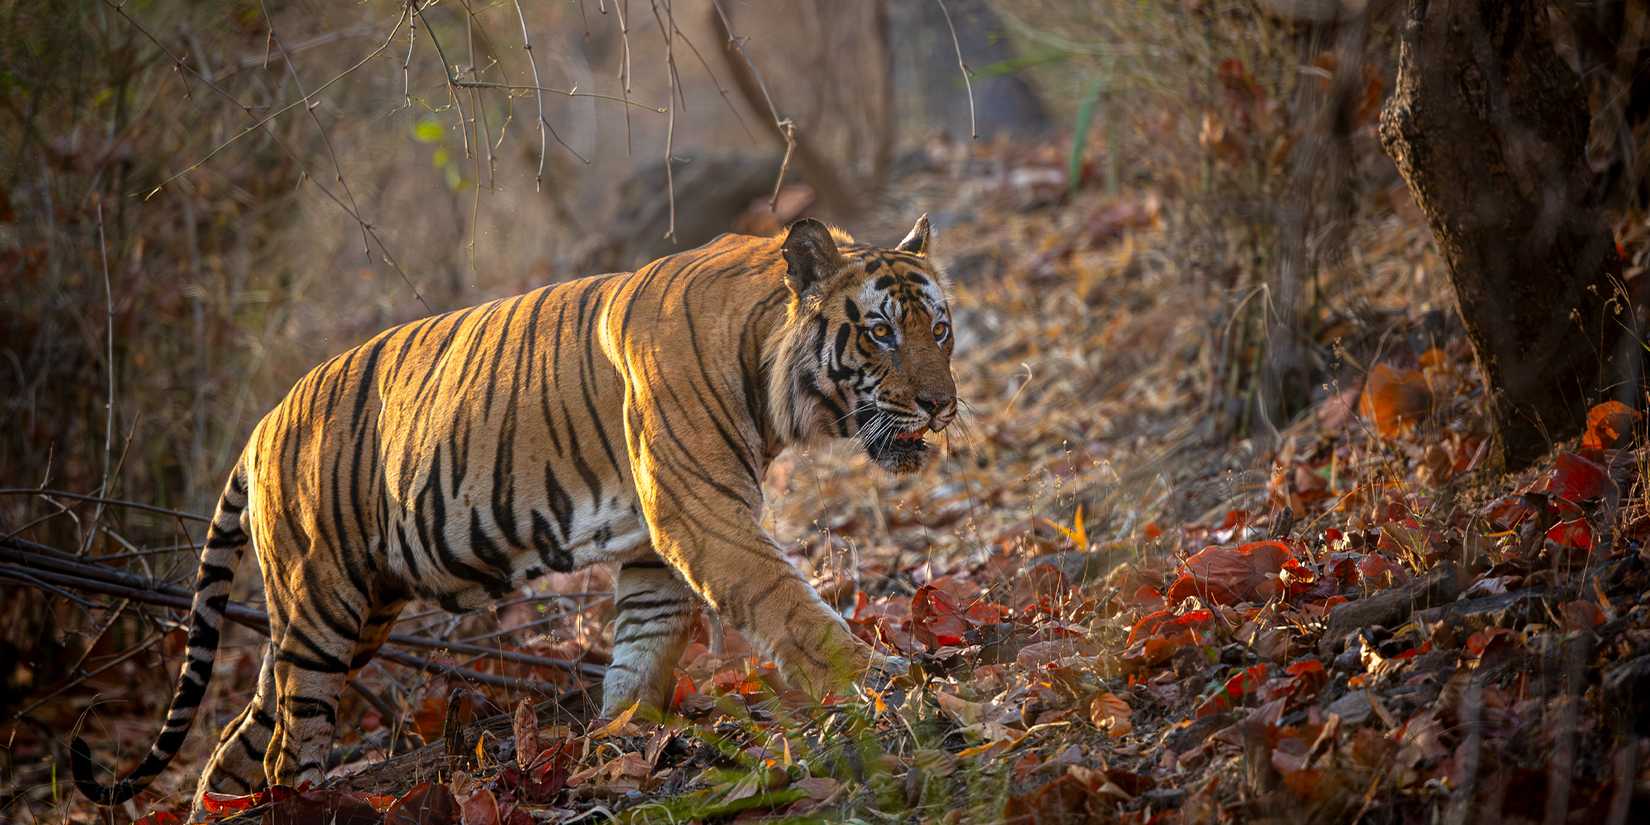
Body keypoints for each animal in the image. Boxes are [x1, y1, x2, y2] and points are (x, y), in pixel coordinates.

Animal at [69, 214, 958, 813]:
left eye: (941, 329)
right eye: (881, 333)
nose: (942, 405)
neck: (767, 366)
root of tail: (261, 424)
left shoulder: (656, 546)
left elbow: (641, 655)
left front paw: (616, 746)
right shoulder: (704, 519)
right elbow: (793, 608)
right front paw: (883, 683)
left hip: (335, 621)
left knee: (234, 744)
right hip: (322, 608)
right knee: (289, 748)